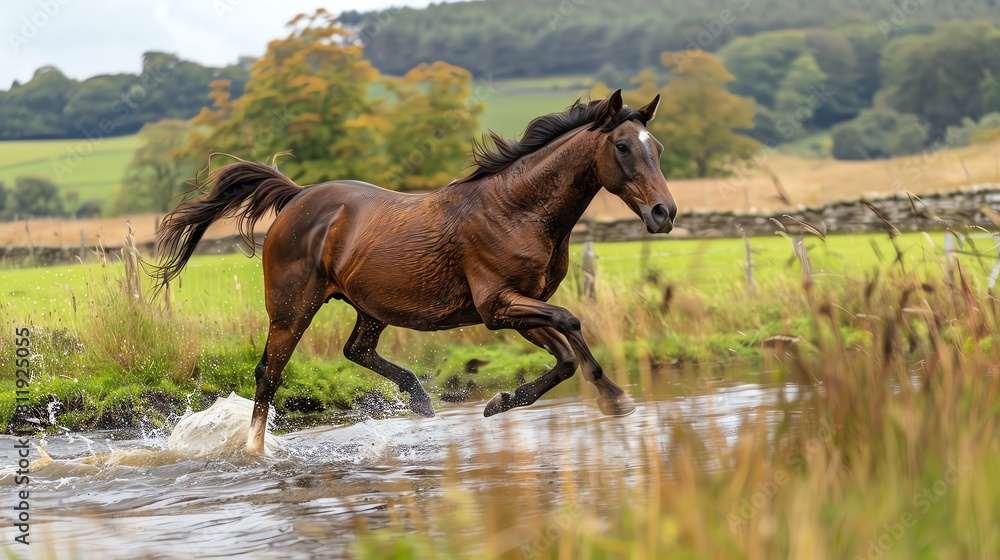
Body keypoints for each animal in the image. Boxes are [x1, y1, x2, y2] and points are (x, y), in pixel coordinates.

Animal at [155, 89, 677, 453]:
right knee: (269, 374)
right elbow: (571, 322)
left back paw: (420, 400)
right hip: (291, 309)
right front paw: (612, 398)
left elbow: (566, 354)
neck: (518, 210)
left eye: (658, 146)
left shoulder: (522, 308)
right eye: (623, 147)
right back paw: (256, 452)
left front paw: (504, 402)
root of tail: (297, 196)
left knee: (355, 350)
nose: (664, 213)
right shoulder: (498, 306)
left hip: (370, 306)